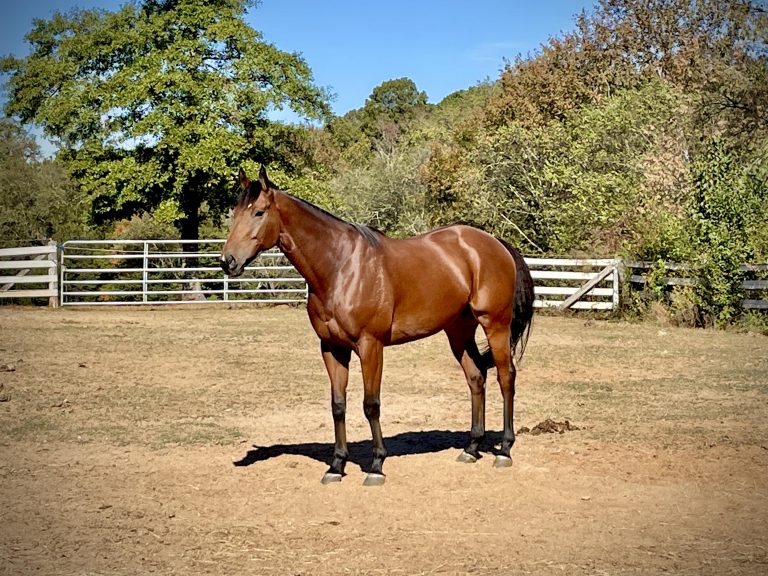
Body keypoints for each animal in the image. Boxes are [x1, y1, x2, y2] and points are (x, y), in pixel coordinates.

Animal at [221, 166, 535, 486]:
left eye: (259, 212)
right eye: (236, 212)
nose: (227, 261)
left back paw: (504, 450)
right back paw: (471, 448)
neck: (340, 268)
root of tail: (496, 244)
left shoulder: (371, 346)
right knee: (476, 377)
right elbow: (338, 405)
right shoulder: (332, 348)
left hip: (495, 325)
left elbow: (371, 404)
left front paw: (376, 466)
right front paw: (336, 465)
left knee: (506, 377)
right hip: (459, 330)